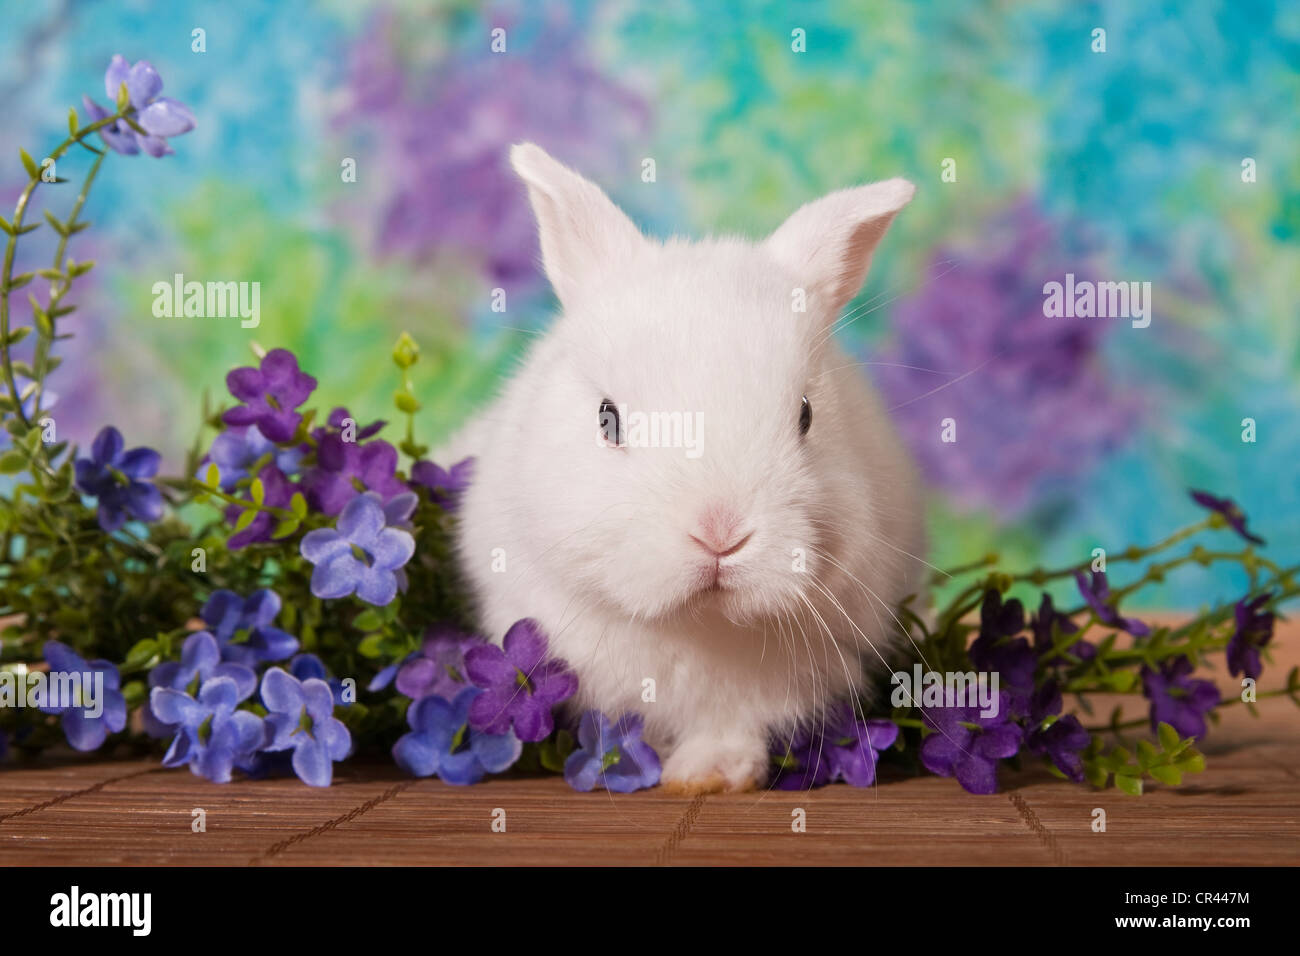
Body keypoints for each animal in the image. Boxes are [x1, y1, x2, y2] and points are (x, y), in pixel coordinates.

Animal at [447, 142, 926, 793]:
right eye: (607, 419)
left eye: (805, 415)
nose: (720, 533)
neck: (701, 625)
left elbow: (730, 728)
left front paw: (711, 775)